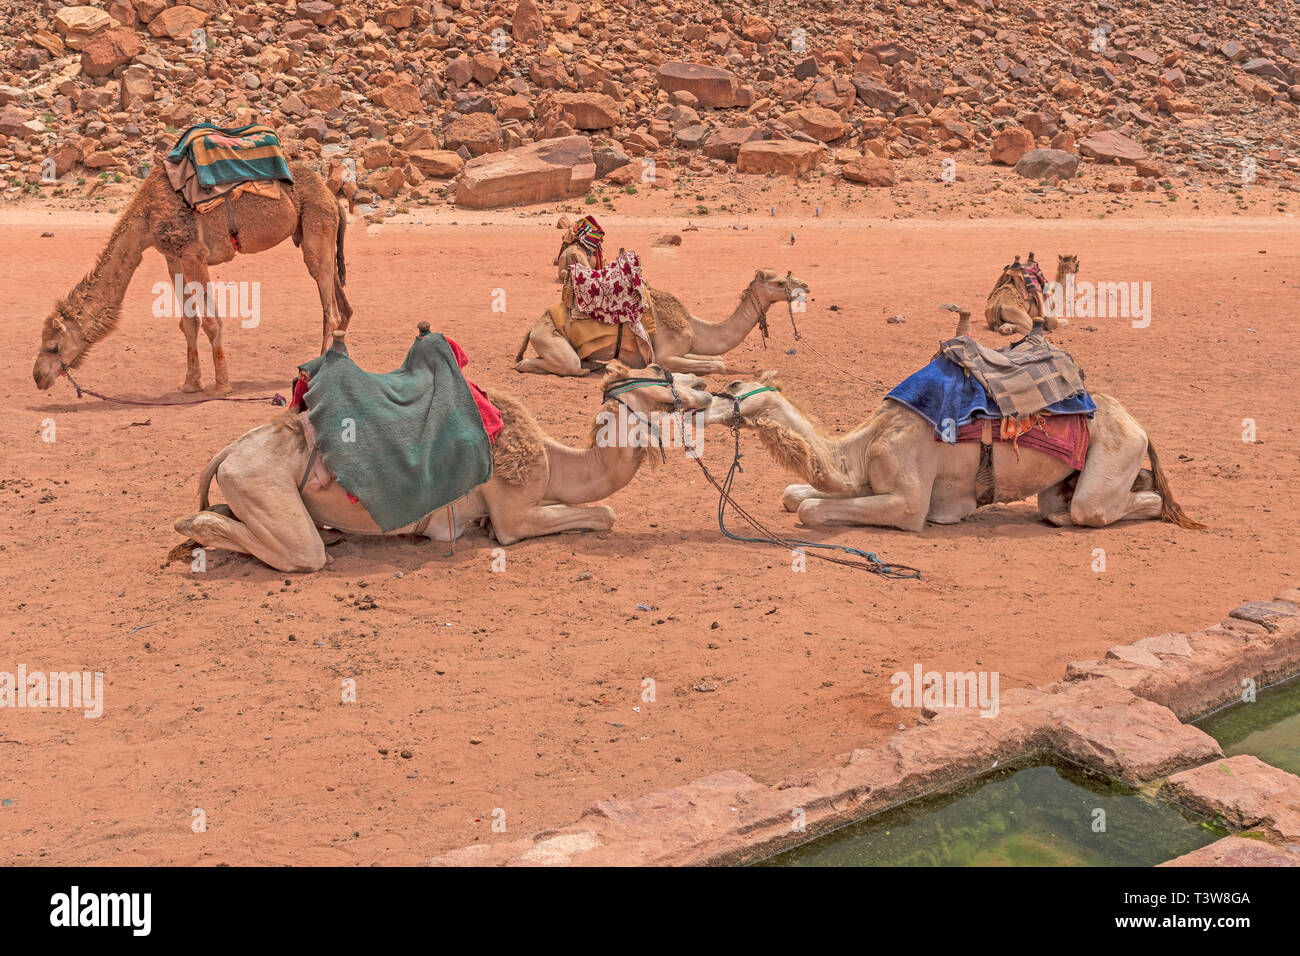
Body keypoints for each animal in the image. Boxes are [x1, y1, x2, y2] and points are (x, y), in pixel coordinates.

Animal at [33, 162, 350, 396]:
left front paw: (221, 386)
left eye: (54, 347)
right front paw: (190, 384)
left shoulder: (194, 254)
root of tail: (332, 196)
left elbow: (210, 321)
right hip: (315, 233)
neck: (145, 219)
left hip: (317, 226)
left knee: (330, 308)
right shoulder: (173, 258)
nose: (37, 376)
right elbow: (188, 323)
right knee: (342, 306)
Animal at [169, 361, 714, 573]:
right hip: (261, 481)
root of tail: (228, 451)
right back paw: (192, 526)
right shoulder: (513, 514)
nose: (709, 389)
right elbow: (603, 514)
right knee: (299, 551)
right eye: (659, 371)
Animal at [515, 269, 811, 377]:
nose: (805, 286)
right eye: (780, 282)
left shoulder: (686, 348)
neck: (694, 325)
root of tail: (533, 327)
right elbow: (716, 364)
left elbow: (718, 359)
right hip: (550, 340)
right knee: (565, 366)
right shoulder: (666, 355)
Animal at [705, 316, 1202, 533]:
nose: (700, 400)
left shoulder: (909, 501)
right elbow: (795, 496)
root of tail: (1141, 428)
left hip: (1115, 451)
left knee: (1102, 507)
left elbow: (809, 508)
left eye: (732, 384)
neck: (861, 447)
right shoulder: (867, 481)